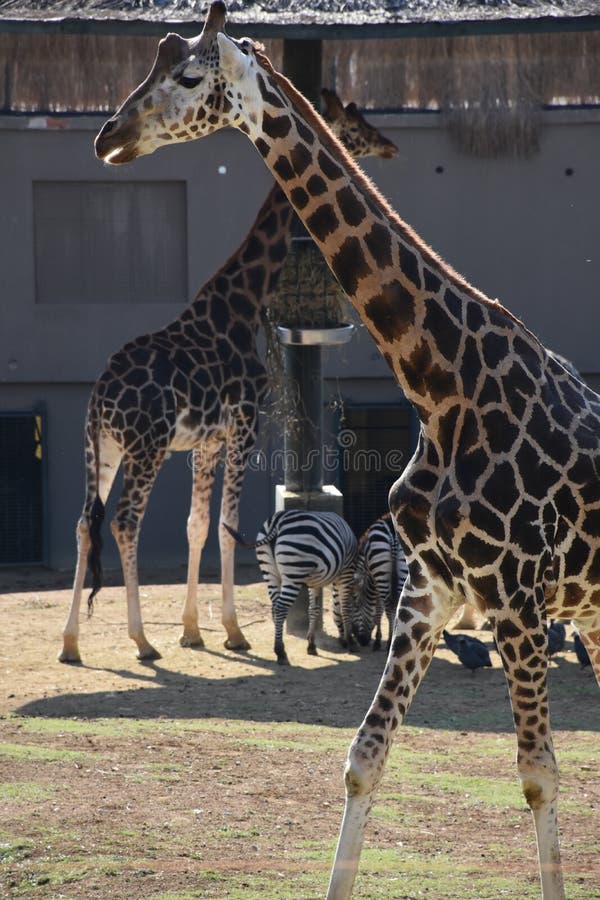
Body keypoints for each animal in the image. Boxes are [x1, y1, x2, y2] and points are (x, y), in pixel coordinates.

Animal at [60, 80, 396, 663]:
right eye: (355, 126)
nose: (386, 146)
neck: (240, 302)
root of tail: (101, 398)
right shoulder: (243, 425)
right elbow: (227, 527)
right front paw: (234, 631)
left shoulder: (207, 440)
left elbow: (197, 525)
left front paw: (194, 630)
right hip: (146, 448)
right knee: (125, 523)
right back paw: (140, 640)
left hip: (100, 447)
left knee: (86, 523)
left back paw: (71, 642)